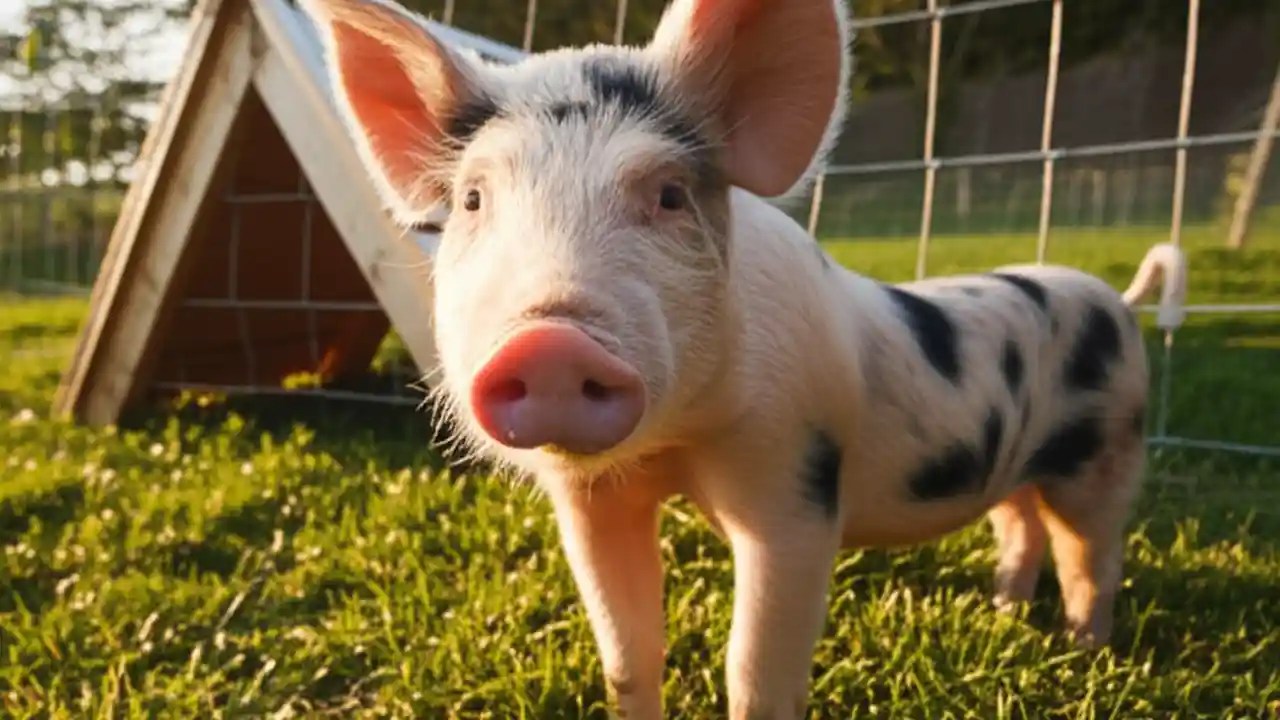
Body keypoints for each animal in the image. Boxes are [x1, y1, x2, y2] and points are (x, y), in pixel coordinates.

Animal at [299, 0, 1185, 716]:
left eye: (668, 194)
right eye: (475, 200)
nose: (549, 338)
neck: (677, 444)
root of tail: (1117, 302)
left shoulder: (796, 481)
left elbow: (756, 673)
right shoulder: (591, 498)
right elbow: (628, 656)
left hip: (1107, 451)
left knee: (1092, 556)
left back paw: (1083, 650)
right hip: (1019, 467)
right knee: (1021, 525)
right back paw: (1006, 613)